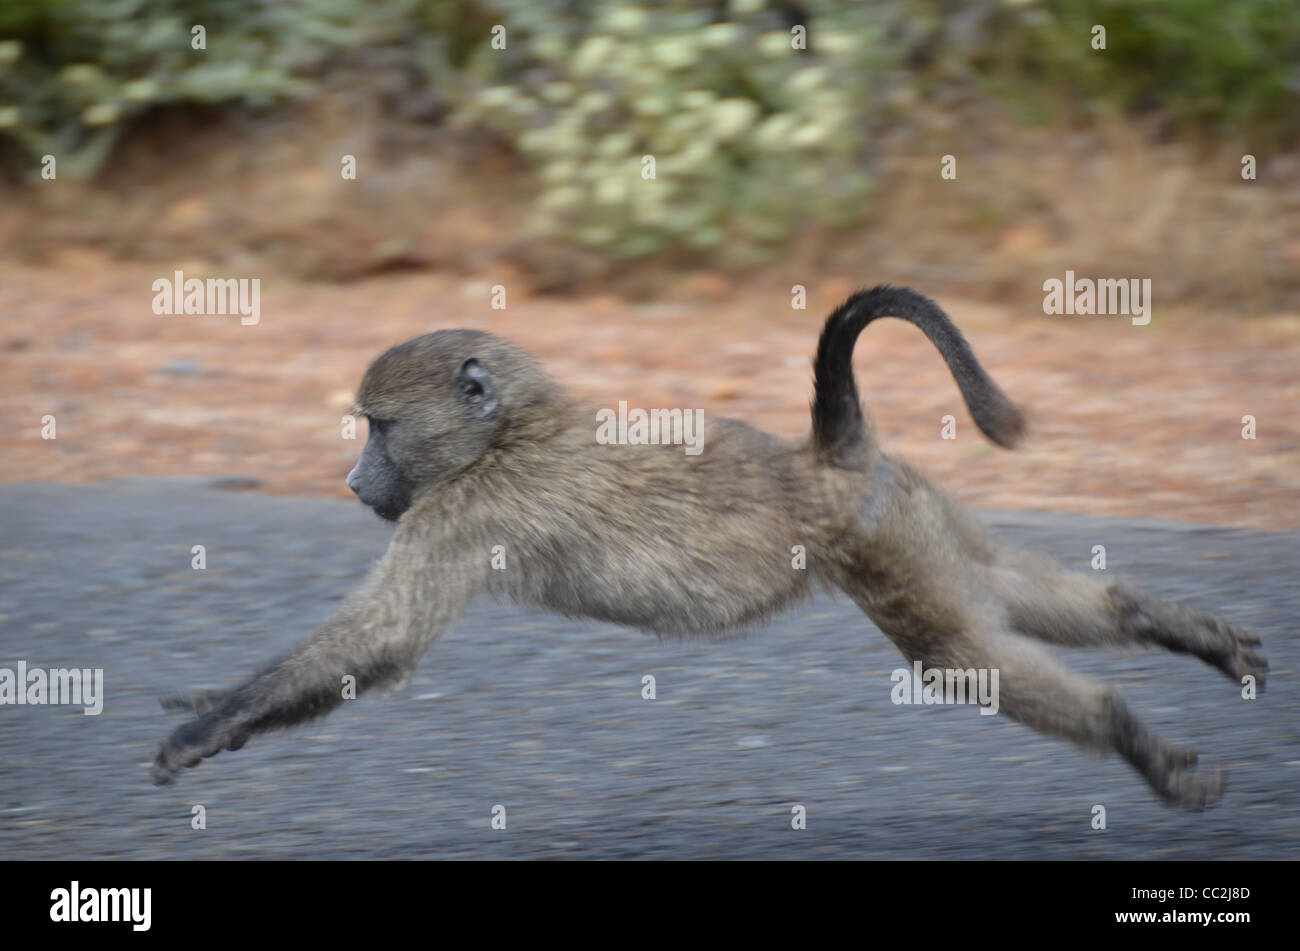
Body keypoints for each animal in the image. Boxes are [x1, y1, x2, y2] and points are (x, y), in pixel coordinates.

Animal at [153, 285, 1267, 810]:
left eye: (377, 429)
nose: (352, 484)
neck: (511, 429)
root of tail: (826, 454)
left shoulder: (462, 513)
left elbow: (378, 641)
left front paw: (211, 725)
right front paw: (207, 704)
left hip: (873, 542)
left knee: (956, 655)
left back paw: (1126, 730)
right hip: (906, 514)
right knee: (997, 589)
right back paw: (1185, 634)